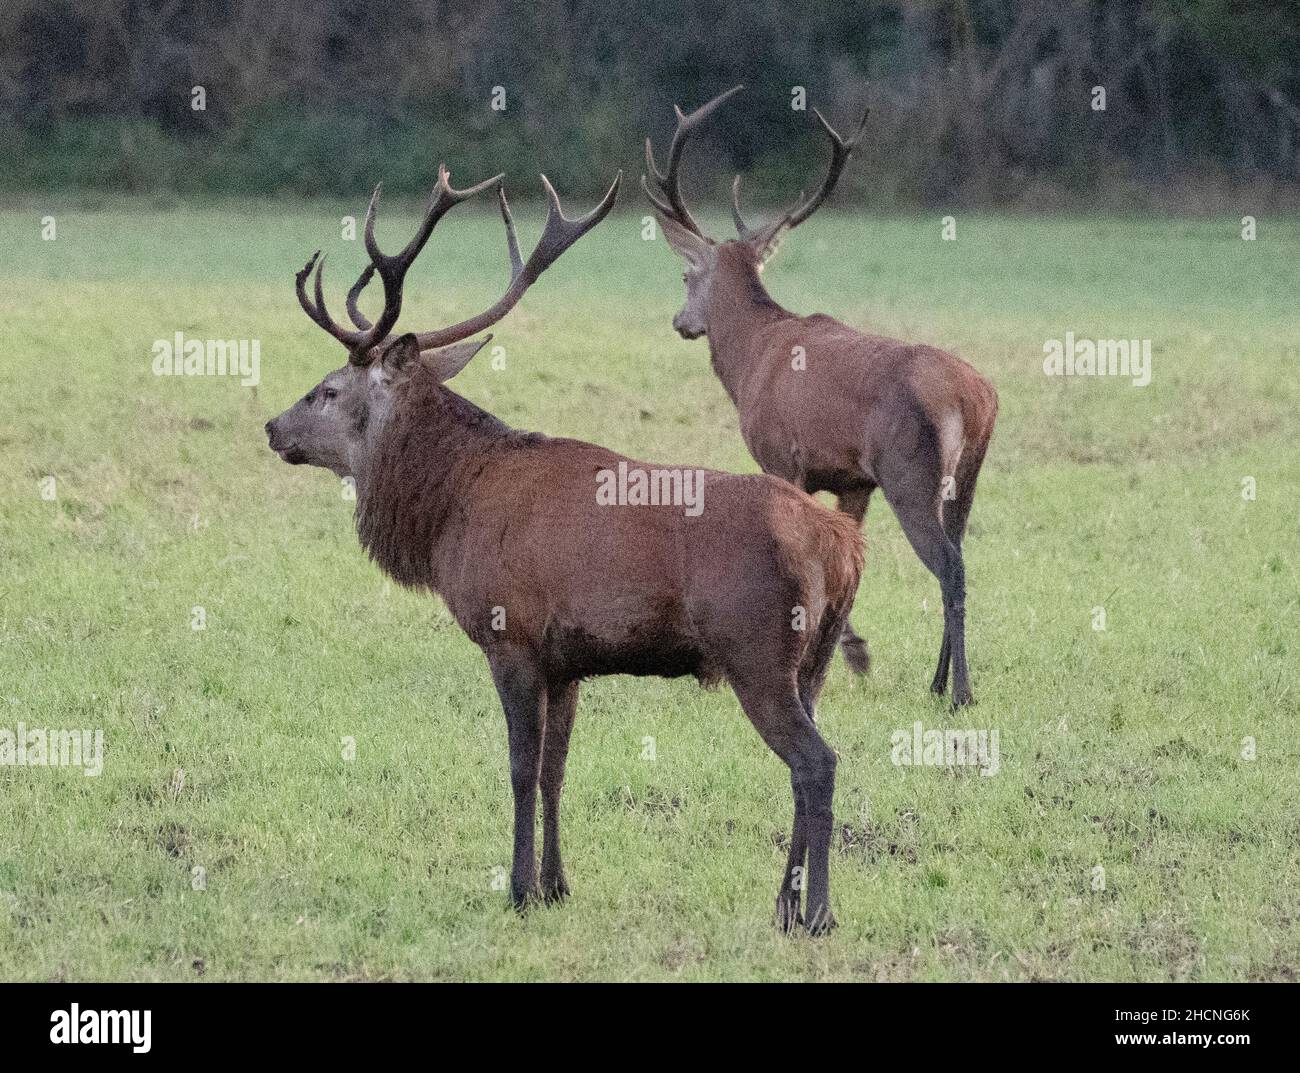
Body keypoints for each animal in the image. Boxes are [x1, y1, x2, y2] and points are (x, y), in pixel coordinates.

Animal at [264, 162, 865, 934]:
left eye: (329, 389)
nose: (273, 427)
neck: (452, 508)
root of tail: (845, 544)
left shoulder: (511, 635)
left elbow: (521, 769)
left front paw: (518, 888)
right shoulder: (568, 661)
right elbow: (557, 770)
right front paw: (557, 884)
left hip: (756, 650)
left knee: (817, 762)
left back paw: (815, 911)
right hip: (811, 662)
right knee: (803, 760)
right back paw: (782, 904)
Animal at [643, 86, 998, 707]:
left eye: (686, 276)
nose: (680, 322)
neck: (750, 361)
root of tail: (975, 398)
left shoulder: (782, 456)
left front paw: (850, 654)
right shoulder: (854, 480)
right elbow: (851, 551)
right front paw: (851, 654)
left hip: (912, 472)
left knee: (950, 566)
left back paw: (961, 692)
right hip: (967, 476)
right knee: (961, 555)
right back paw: (935, 683)